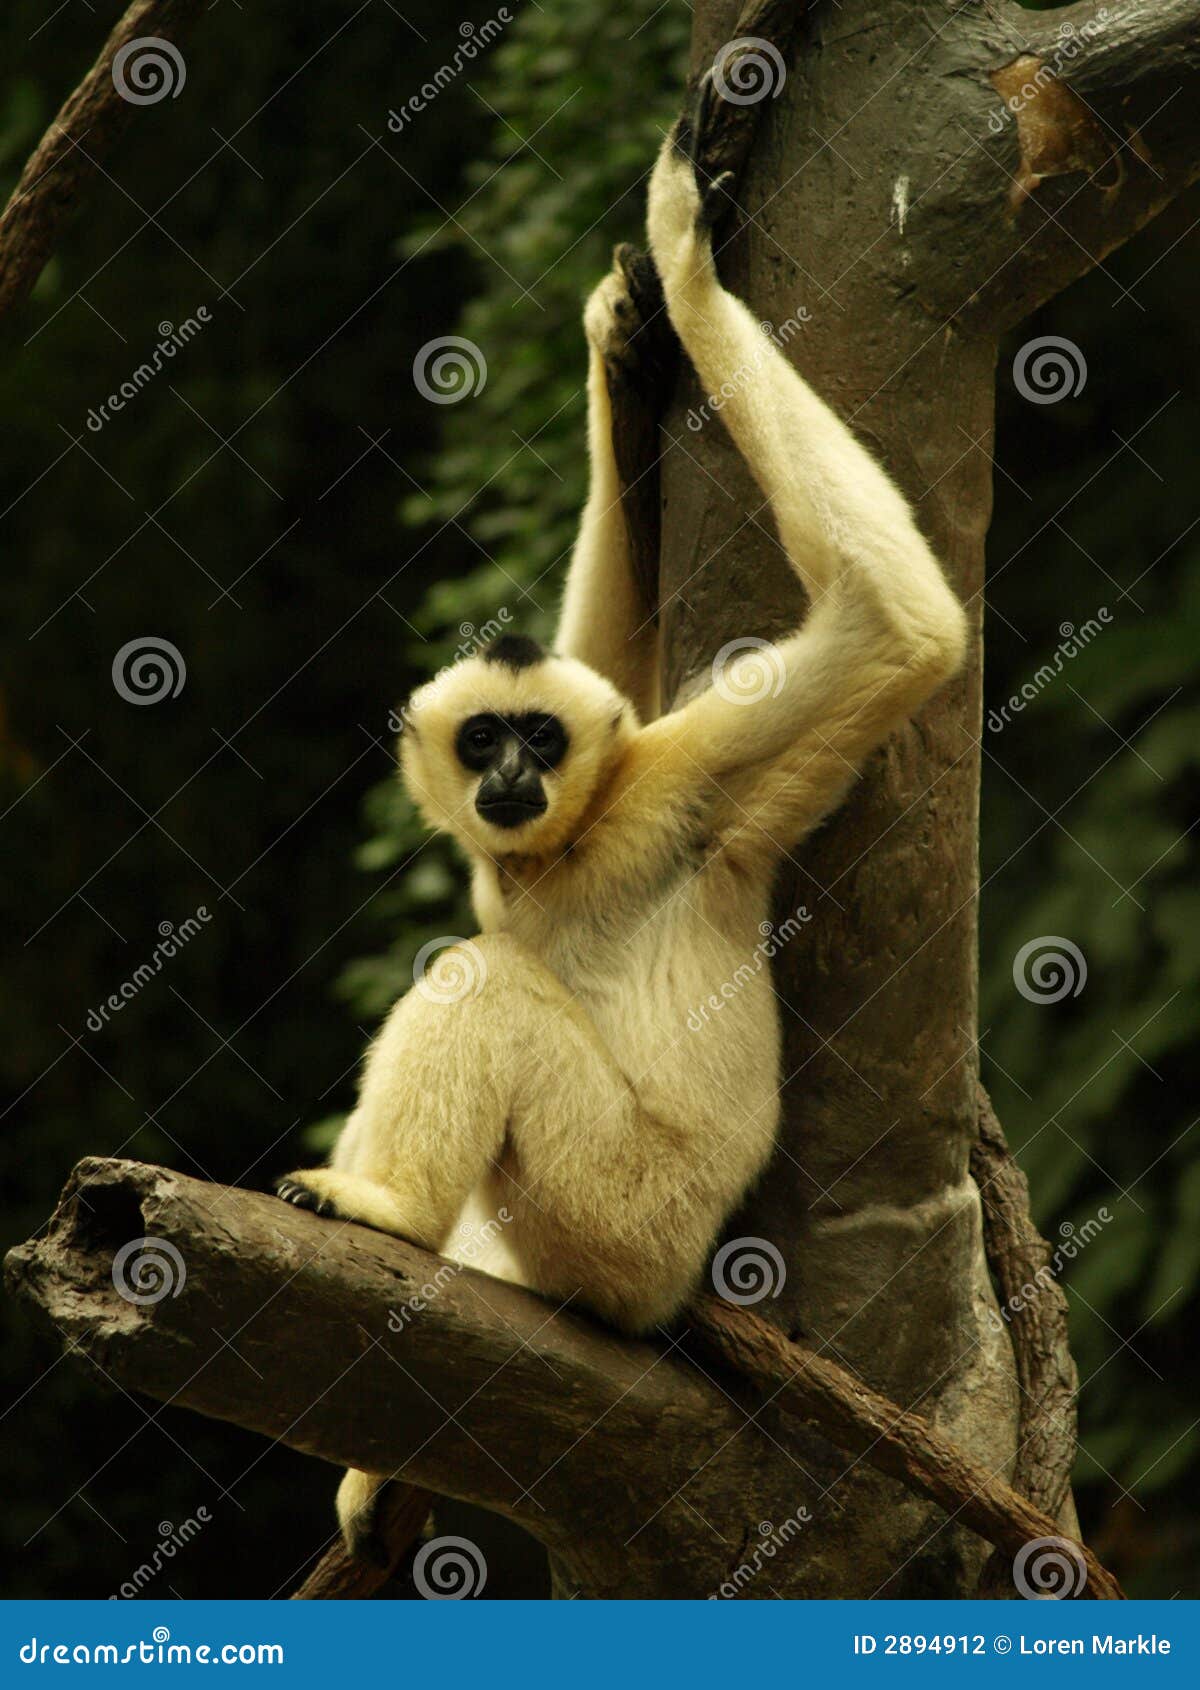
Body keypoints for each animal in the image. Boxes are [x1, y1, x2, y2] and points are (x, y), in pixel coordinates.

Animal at [274, 107, 968, 1560]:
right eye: (488, 738)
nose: (510, 777)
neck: (560, 853)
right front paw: (622, 347)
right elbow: (620, 652)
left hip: (617, 1216)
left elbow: (901, 629)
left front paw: (685, 264)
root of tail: (675, 1282)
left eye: (539, 742)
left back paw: (386, 1210)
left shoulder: (665, 791)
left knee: (479, 982)